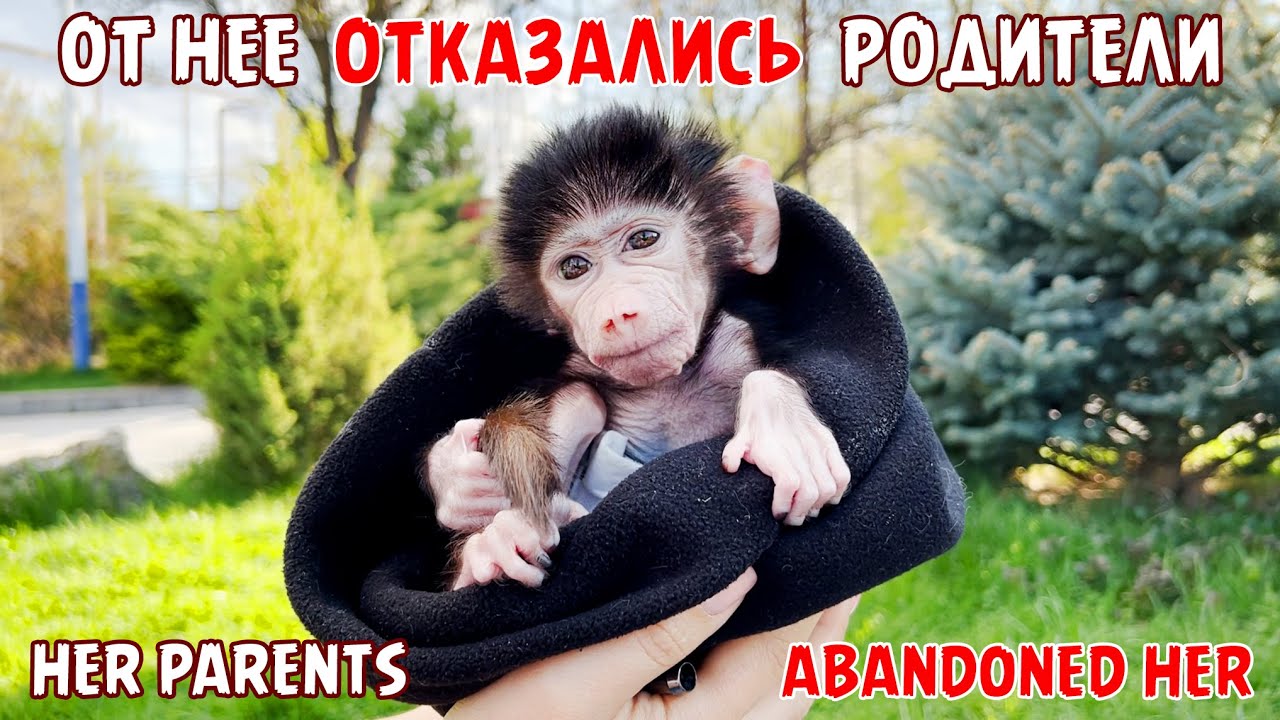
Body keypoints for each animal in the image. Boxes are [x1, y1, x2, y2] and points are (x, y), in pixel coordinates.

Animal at [421, 107, 851, 590]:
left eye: (643, 240)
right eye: (574, 267)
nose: (615, 312)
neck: (668, 385)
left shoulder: (737, 338)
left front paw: (785, 431)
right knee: (581, 399)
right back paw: (492, 547)